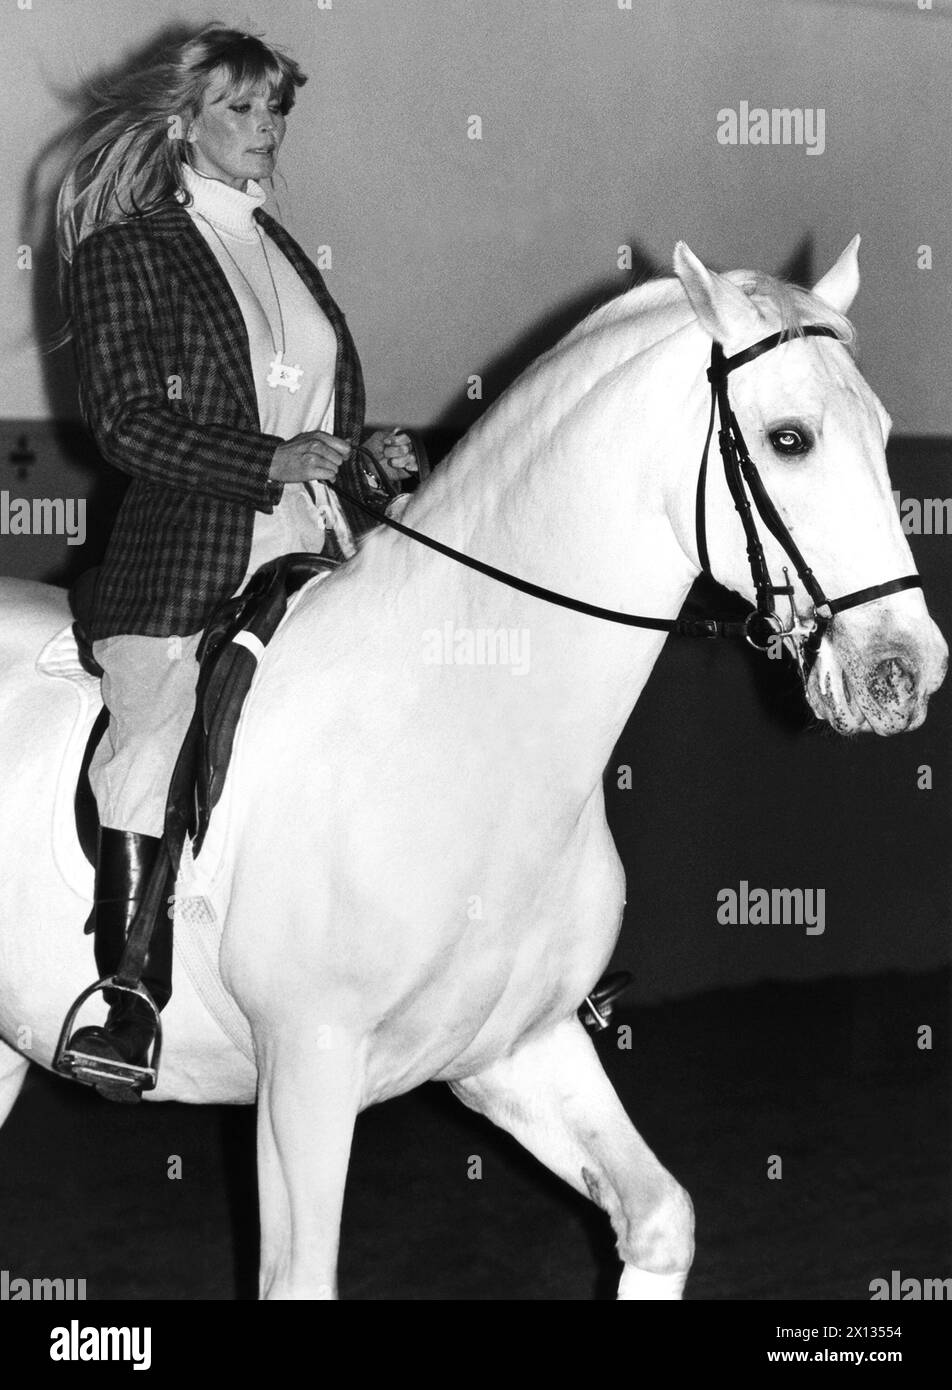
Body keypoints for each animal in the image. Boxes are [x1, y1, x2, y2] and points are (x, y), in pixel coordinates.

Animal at [0, 239, 945, 1300]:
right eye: (789, 440)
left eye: (885, 434)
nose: (904, 672)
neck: (463, 721)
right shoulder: (306, 1069)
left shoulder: (518, 1048)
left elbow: (660, 1217)